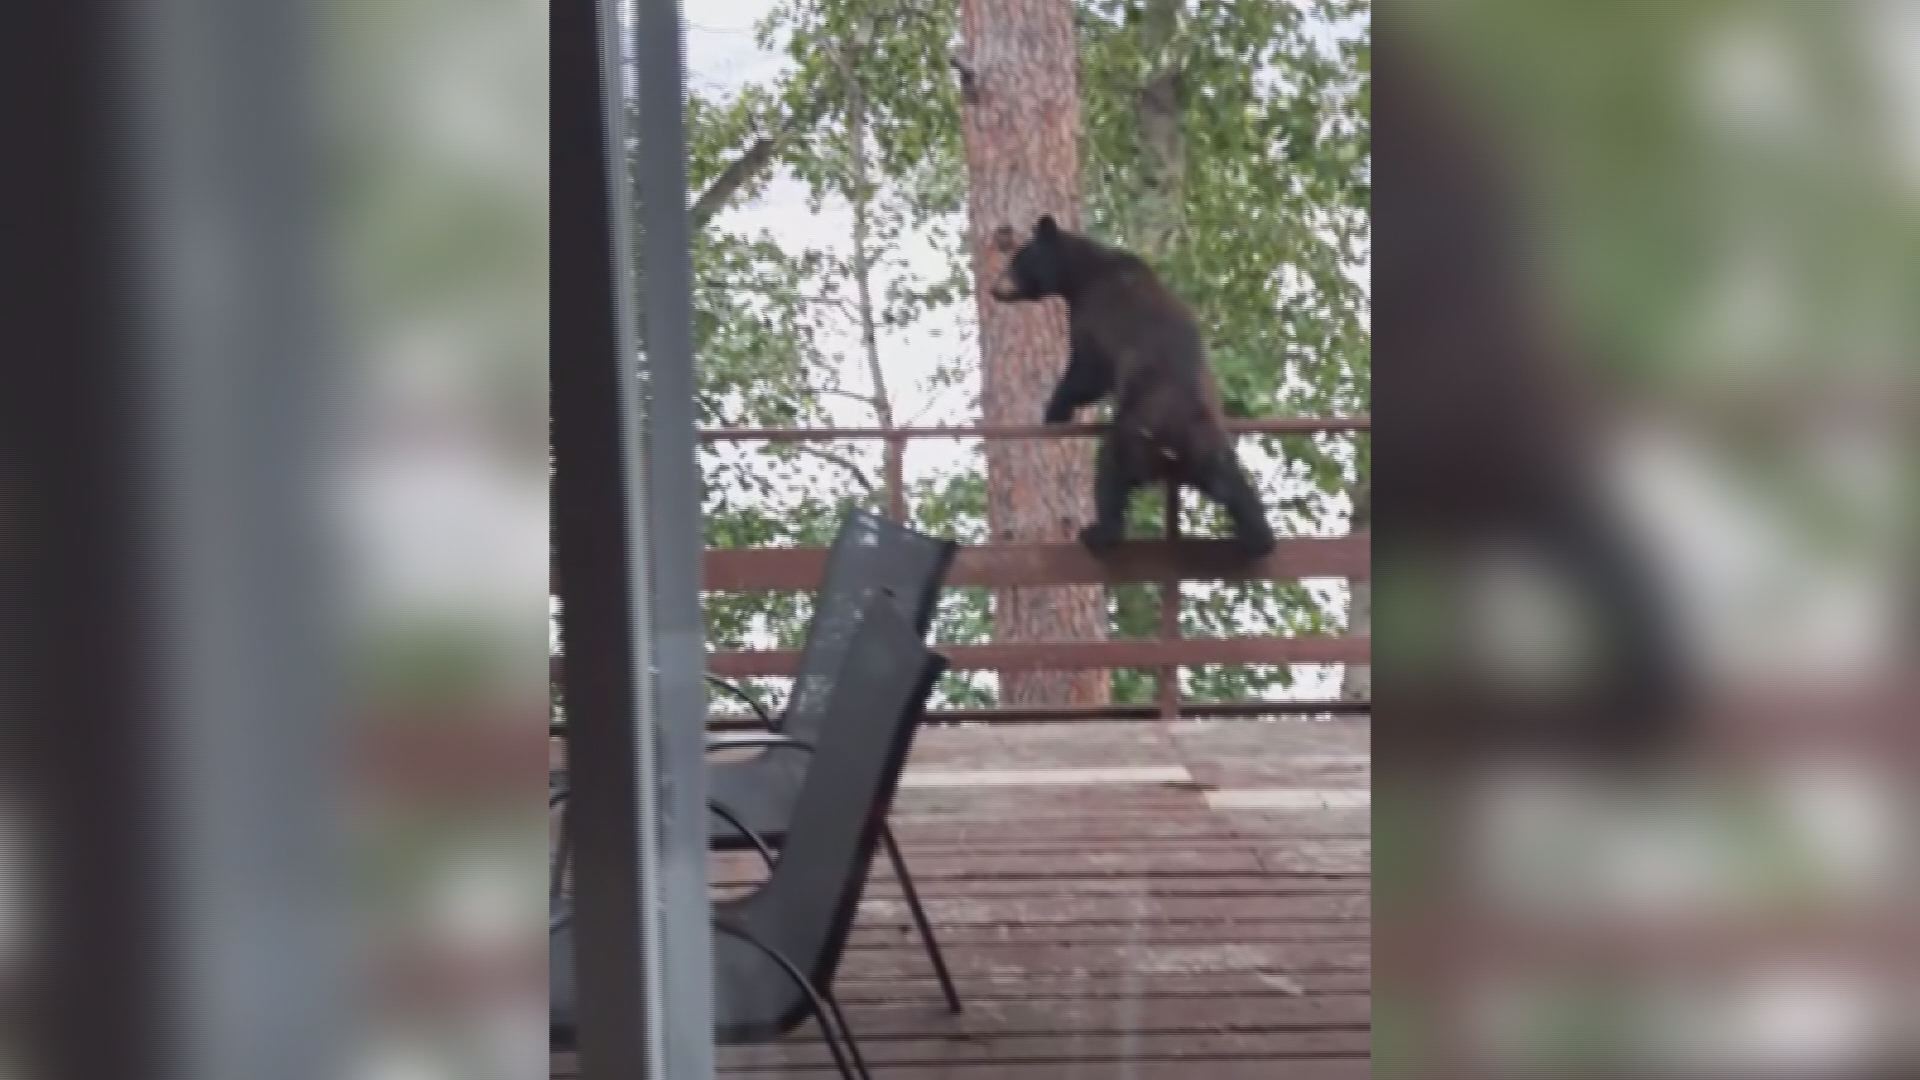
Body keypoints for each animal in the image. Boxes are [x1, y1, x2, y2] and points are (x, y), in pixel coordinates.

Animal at [989, 214, 1276, 558]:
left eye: (1017, 259)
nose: (994, 289)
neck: (1083, 273)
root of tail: (1176, 448)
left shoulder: (1095, 313)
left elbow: (1089, 369)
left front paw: (1055, 411)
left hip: (1136, 434)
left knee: (1110, 471)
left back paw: (1099, 532)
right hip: (1212, 449)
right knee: (1234, 486)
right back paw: (1260, 537)